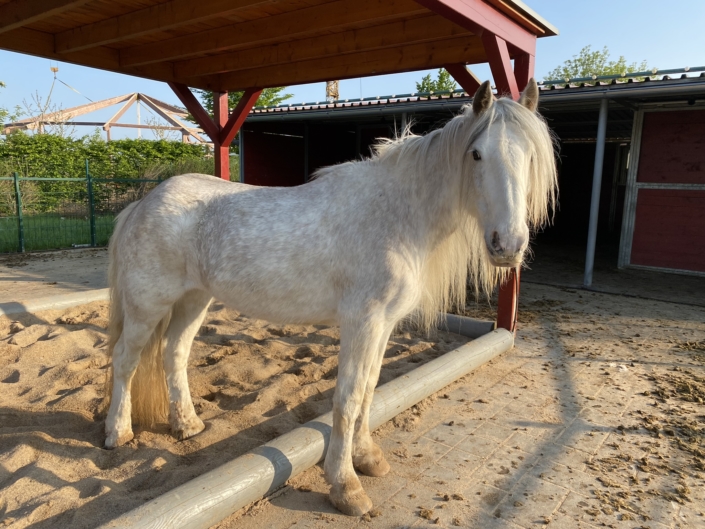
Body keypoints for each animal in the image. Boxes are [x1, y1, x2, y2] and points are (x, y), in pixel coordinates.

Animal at [103, 79, 557, 516]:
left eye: (531, 157)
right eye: (476, 154)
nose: (508, 246)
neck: (397, 214)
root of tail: (143, 204)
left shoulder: (383, 325)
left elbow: (370, 389)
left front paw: (368, 458)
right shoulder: (362, 322)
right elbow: (348, 398)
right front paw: (346, 487)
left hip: (195, 300)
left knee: (174, 353)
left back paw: (187, 425)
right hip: (147, 306)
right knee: (125, 361)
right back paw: (117, 432)